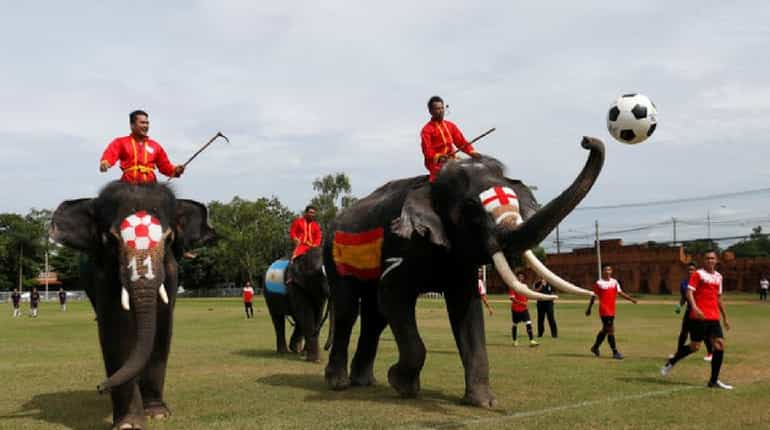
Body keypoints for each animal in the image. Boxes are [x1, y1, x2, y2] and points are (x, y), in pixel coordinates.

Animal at [50, 181, 214, 429]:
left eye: (168, 238)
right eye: (110, 239)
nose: (100, 387)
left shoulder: (171, 273)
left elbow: (162, 328)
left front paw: (157, 414)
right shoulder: (103, 274)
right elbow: (116, 330)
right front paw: (128, 423)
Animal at [323, 137, 604, 407]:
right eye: (473, 212)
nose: (587, 140)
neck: (433, 185)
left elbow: (467, 309)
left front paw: (483, 403)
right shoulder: (403, 244)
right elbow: (393, 296)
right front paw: (402, 385)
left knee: (375, 316)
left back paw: (364, 381)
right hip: (334, 257)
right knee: (349, 310)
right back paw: (338, 384)